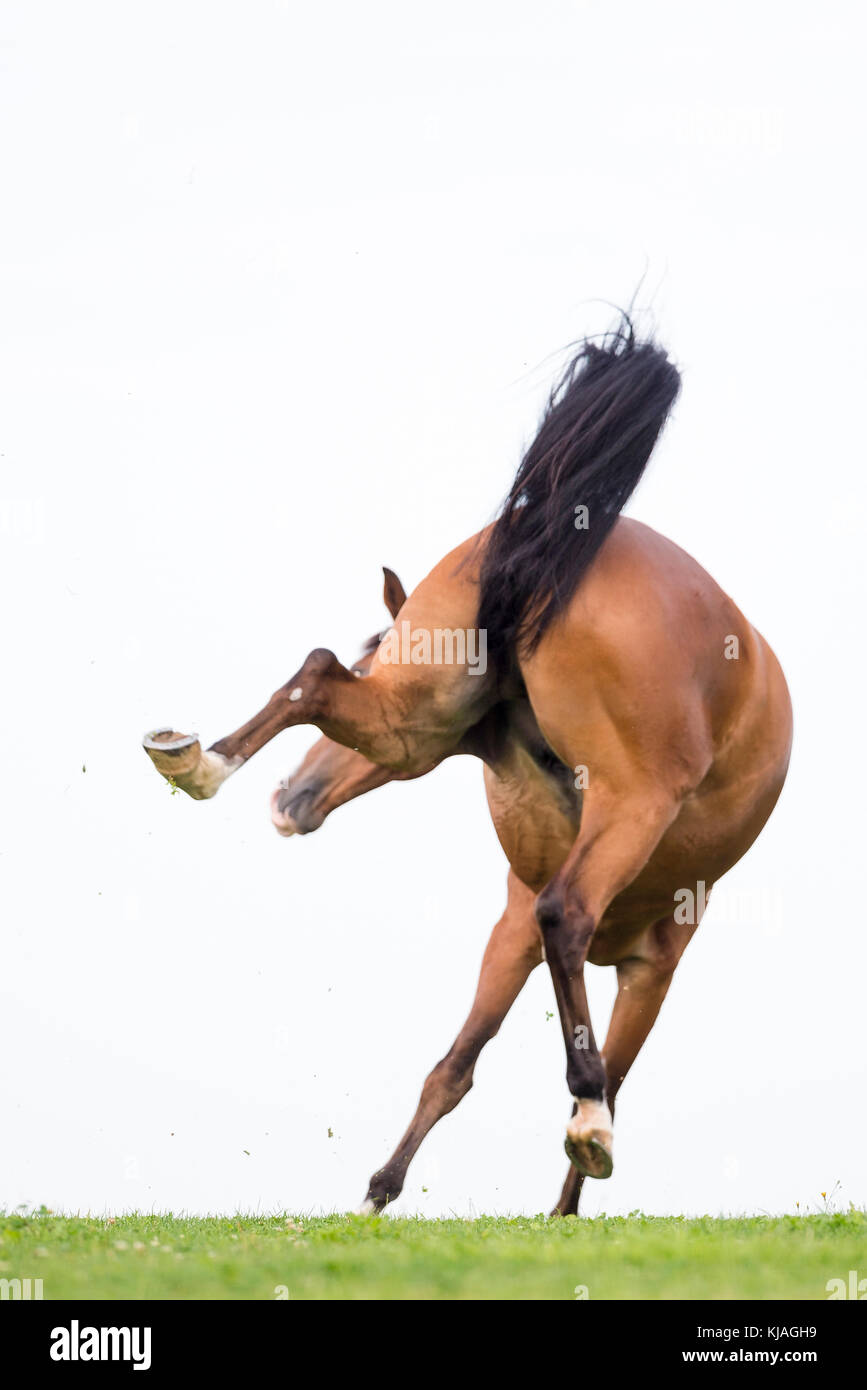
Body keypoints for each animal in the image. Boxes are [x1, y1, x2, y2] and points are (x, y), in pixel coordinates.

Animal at [142, 319, 794, 1212]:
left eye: (376, 643)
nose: (295, 794)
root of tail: (559, 530)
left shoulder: (509, 933)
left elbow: (451, 1069)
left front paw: (378, 1194)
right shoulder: (646, 964)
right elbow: (592, 1068)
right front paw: (576, 1168)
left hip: (416, 726)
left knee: (315, 672)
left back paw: (196, 762)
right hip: (630, 801)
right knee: (568, 914)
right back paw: (587, 1119)